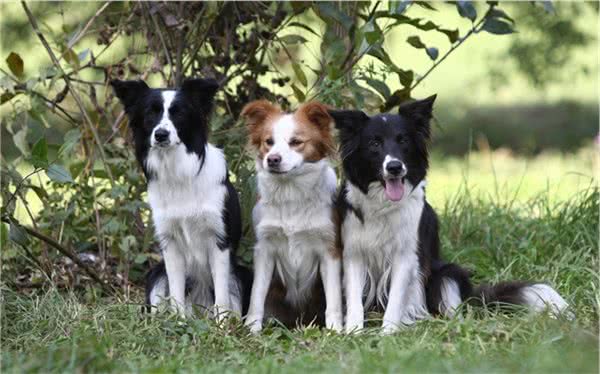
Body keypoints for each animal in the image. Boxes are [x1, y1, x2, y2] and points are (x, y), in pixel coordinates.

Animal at [112, 78, 251, 318]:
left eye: (179, 114)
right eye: (150, 113)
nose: (161, 134)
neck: (178, 172)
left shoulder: (219, 242)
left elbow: (222, 297)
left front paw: (221, 324)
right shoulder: (171, 244)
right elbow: (176, 294)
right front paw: (178, 321)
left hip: (241, 274)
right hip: (156, 274)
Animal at [239, 100, 342, 334]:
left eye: (296, 142)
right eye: (269, 142)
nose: (272, 159)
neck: (291, 192)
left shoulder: (329, 250)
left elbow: (333, 299)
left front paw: (336, 330)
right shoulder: (265, 249)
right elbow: (256, 295)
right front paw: (252, 329)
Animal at [332, 95, 572, 334]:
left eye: (403, 141)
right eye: (374, 143)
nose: (394, 167)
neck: (384, 205)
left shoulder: (406, 257)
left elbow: (395, 301)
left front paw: (387, 334)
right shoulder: (354, 253)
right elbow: (354, 300)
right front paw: (353, 332)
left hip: (448, 273)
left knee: (454, 313)